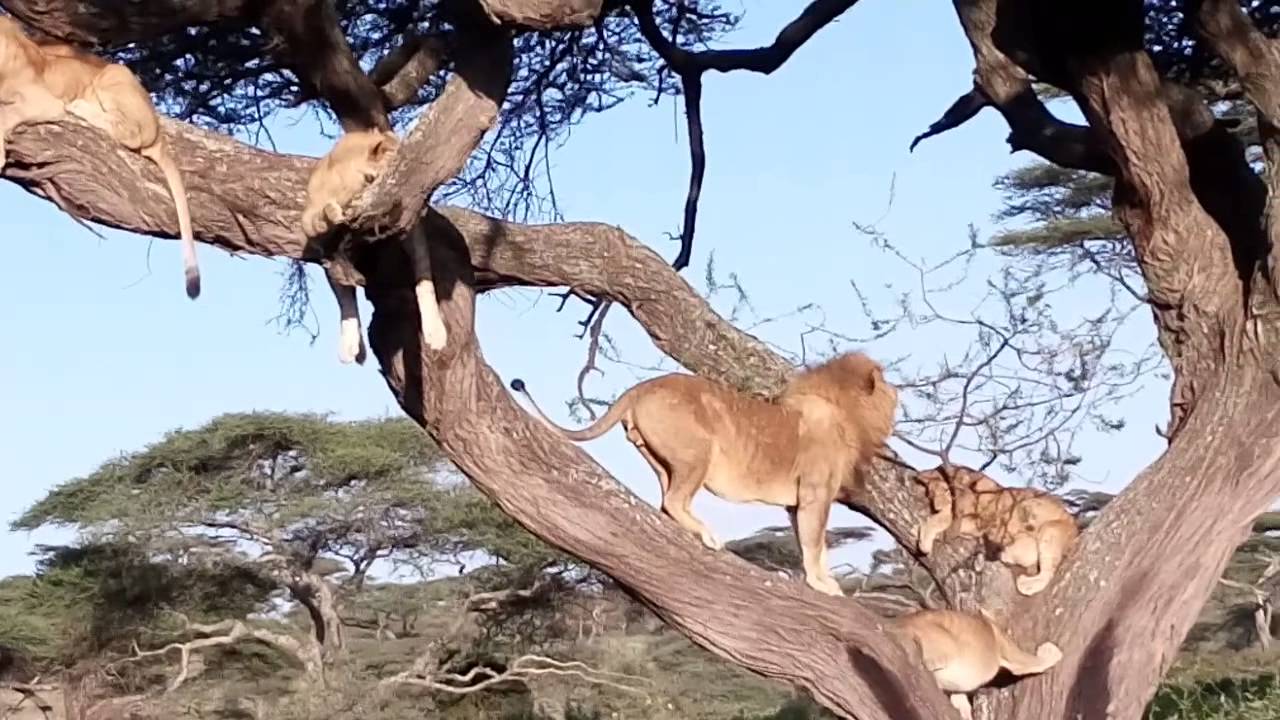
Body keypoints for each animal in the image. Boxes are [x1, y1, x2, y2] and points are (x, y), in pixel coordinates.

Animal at [509, 351, 899, 596]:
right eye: (886, 384)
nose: (898, 392)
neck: (843, 410)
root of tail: (639, 388)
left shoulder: (797, 503)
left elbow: (809, 544)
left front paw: (821, 580)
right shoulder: (816, 494)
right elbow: (815, 542)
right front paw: (823, 585)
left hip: (661, 458)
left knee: (667, 501)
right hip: (698, 454)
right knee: (674, 500)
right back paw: (709, 537)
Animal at [890, 608, 1061, 720]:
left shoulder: (956, 687)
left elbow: (960, 700)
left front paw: (964, 714)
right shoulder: (1011, 653)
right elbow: (1033, 662)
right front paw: (1052, 652)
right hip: (946, 646)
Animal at [915, 466, 1079, 596]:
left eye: (947, 491)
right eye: (931, 494)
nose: (937, 507)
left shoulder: (982, 519)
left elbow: (940, 519)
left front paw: (924, 543)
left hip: (1047, 524)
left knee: (1048, 572)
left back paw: (1026, 582)